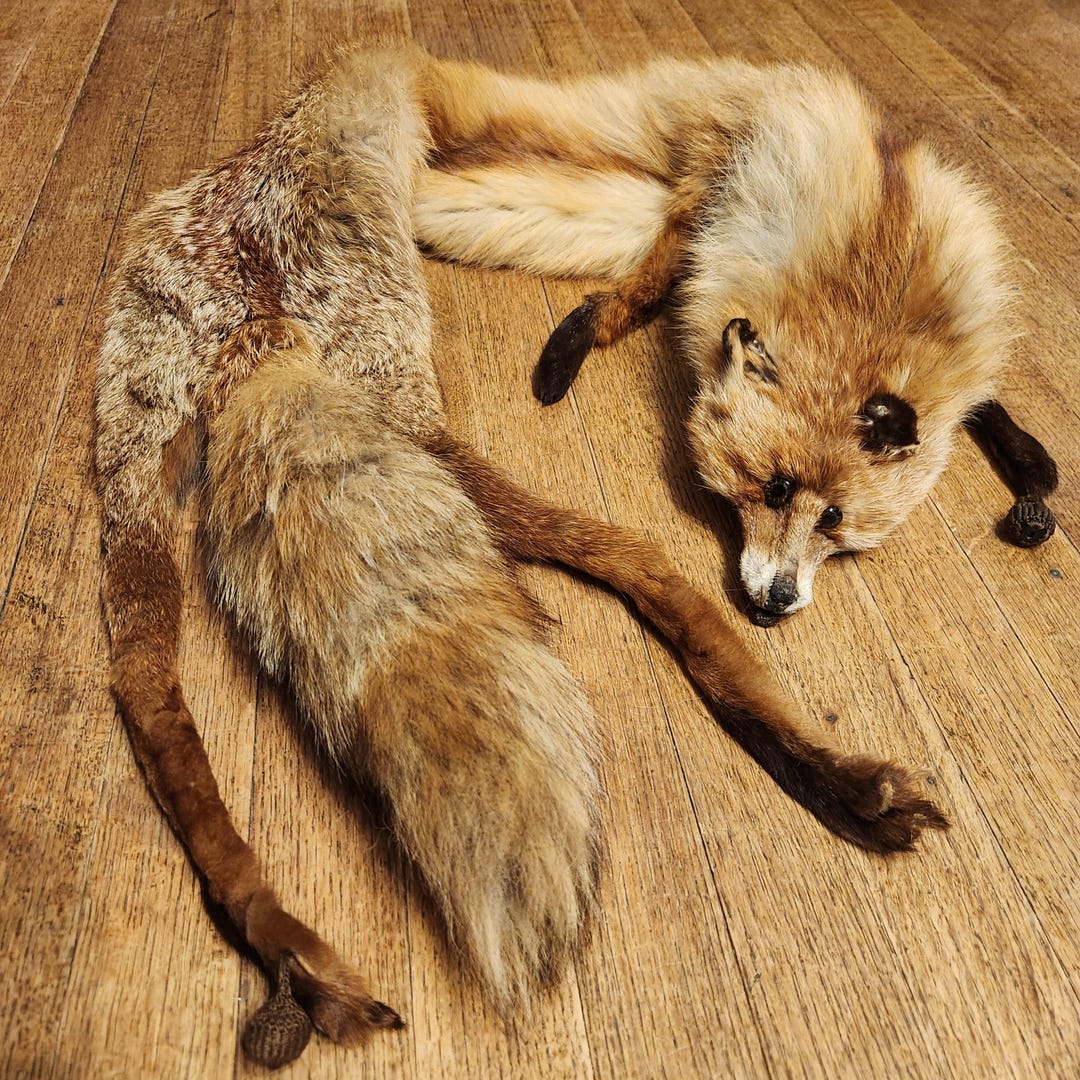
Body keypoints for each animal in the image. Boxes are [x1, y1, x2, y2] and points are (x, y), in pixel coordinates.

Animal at [95, 44, 947, 1068]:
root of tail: (252, 327)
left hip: (135, 500)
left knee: (147, 693)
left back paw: (289, 952)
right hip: (419, 420)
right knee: (643, 561)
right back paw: (836, 773)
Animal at [412, 54, 1060, 627]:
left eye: (833, 517)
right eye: (775, 489)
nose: (779, 597)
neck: (869, 325)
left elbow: (985, 408)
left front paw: (1032, 483)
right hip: (696, 187)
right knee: (641, 279)